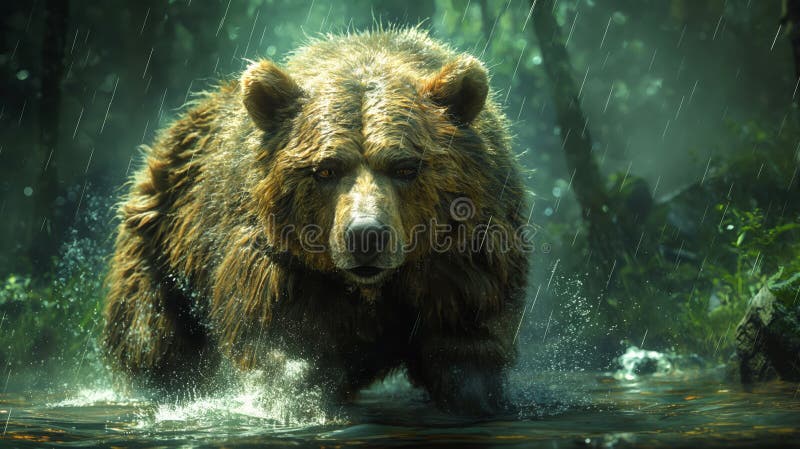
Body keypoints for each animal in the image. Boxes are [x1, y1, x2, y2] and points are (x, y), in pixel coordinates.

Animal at [102, 28, 529, 415]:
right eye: (325, 170)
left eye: (406, 167)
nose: (366, 236)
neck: (370, 287)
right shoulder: (282, 266)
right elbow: (286, 350)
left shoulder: (460, 262)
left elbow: (466, 347)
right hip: (160, 247)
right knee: (154, 338)